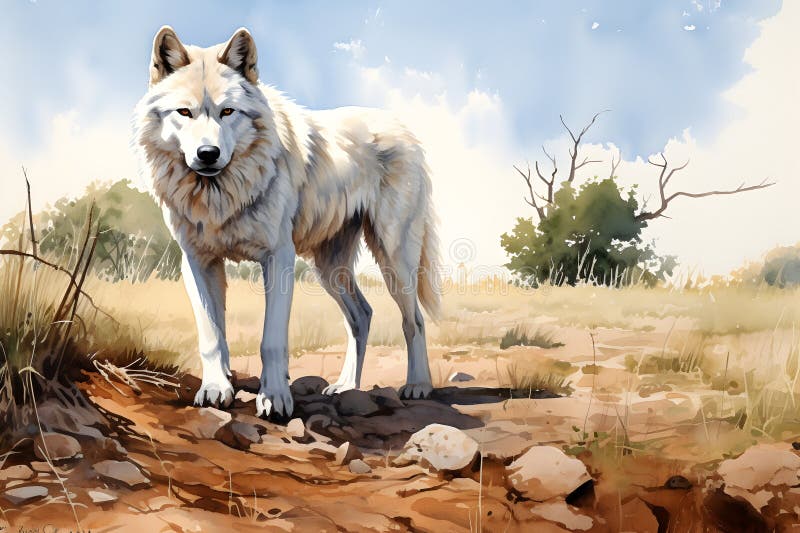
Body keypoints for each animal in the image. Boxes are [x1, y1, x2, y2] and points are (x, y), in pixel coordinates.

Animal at [132, 27, 441, 418]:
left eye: (227, 111)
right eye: (184, 112)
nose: (208, 154)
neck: (221, 196)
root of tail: (404, 130)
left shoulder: (278, 258)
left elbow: (272, 341)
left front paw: (275, 398)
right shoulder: (197, 263)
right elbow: (212, 336)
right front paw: (217, 388)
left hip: (393, 258)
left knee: (413, 319)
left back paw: (418, 385)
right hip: (330, 268)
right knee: (363, 315)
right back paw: (346, 386)